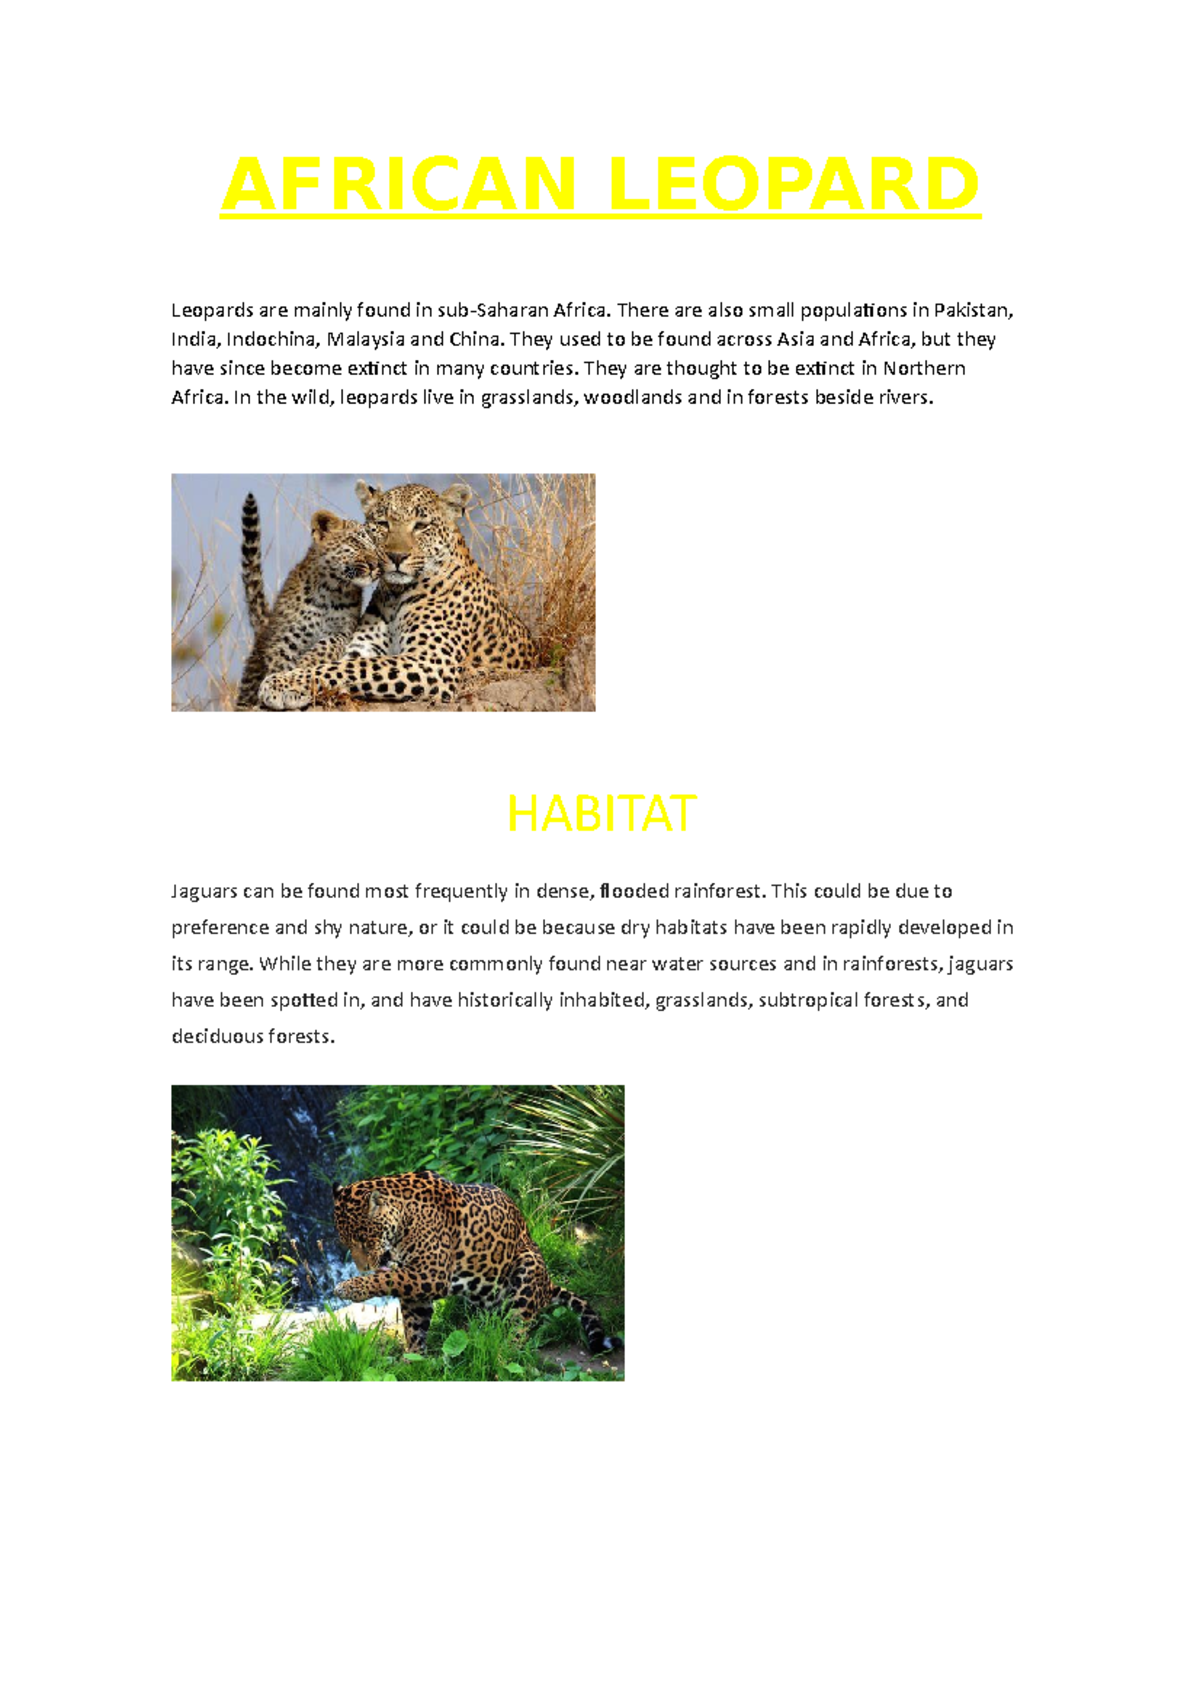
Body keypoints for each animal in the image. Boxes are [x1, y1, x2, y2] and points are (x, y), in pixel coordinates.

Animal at [236, 502, 393, 710]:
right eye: (355, 542)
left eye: (379, 550)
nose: (376, 565)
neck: (332, 589)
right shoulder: (287, 636)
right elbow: (280, 661)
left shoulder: (342, 631)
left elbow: (325, 646)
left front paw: (304, 667)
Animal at [257, 480, 538, 711]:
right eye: (382, 524)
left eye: (421, 526)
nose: (396, 556)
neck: (395, 594)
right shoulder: (362, 648)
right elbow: (343, 664)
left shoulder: (431, 661)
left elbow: (354, 669)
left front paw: (282, 683)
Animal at [331, 1170, 616, 1356]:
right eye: (346, 1243)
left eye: (364, 1240)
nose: (363, 1268)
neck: (405, 1217)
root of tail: (547, 1286)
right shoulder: (417, 1287)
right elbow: (414, 1326)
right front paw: (413, 1361)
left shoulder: (430, 1274)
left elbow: (386, 1278)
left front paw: (349, 1287)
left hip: (528, 1264)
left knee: (520, 1325)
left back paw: (504, 1350)